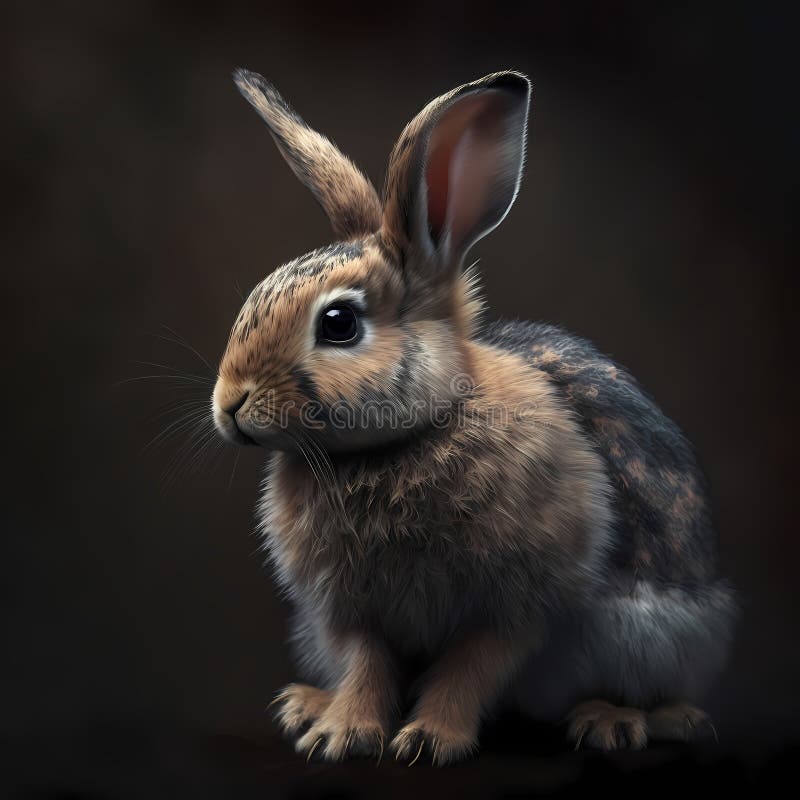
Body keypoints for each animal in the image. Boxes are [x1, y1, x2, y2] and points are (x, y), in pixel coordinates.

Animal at [211, 67, 737, 764]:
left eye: (339, 323)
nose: (229, 403)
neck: (411, 434)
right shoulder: (348, 612)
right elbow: (366, 666)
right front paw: (341, 732)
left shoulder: (521, 603)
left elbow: (472, 668)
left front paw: (428, 741)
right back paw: (305, 703)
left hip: (655, 636)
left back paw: (620, 722)